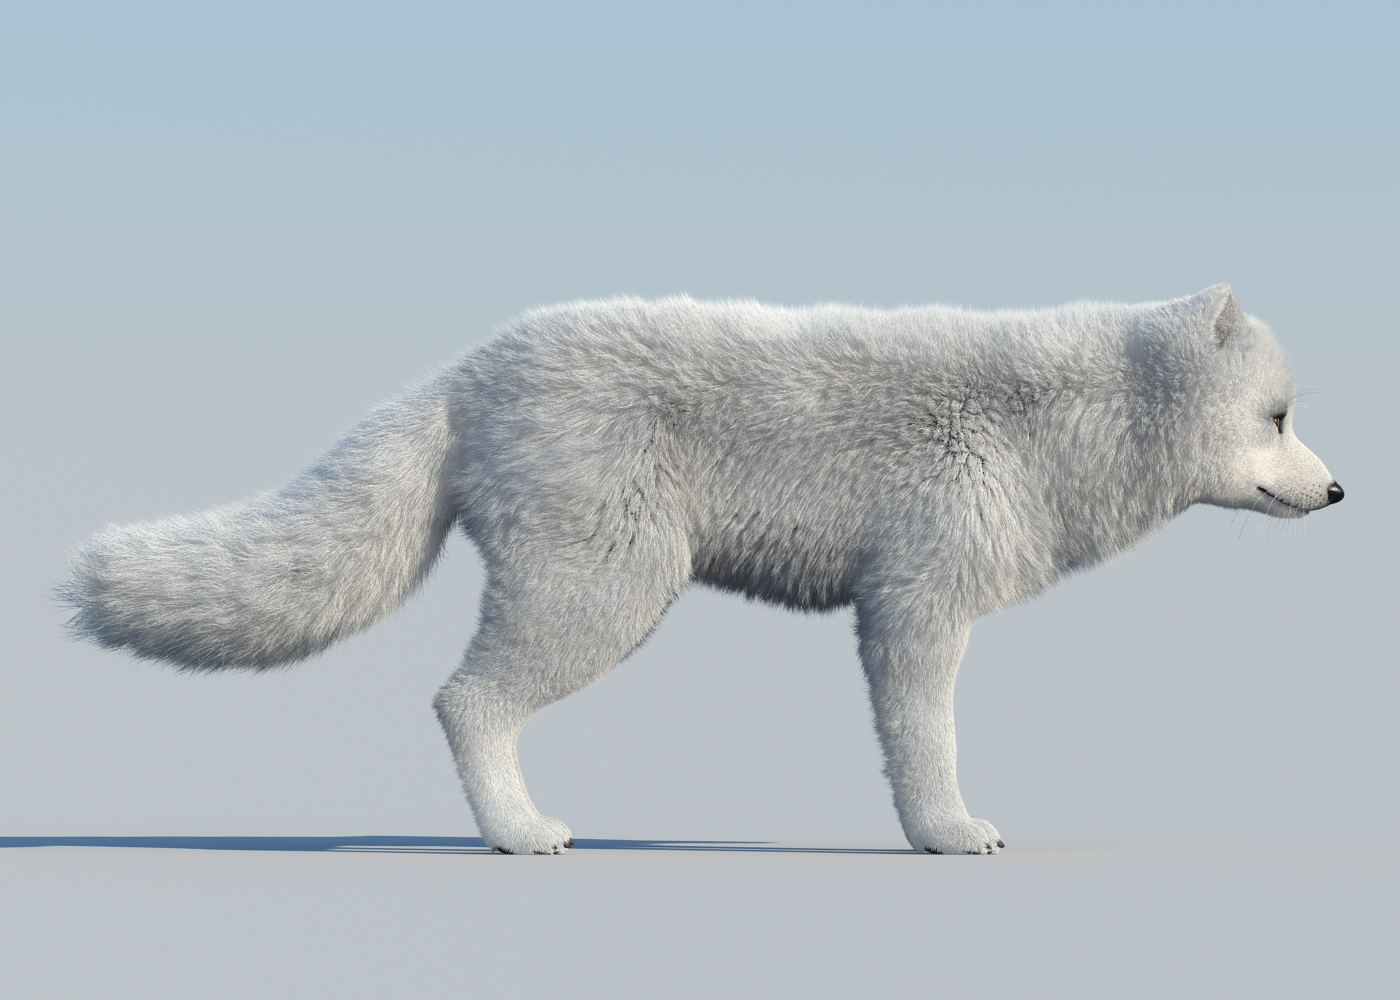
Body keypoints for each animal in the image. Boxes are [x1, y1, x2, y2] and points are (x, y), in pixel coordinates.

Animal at [60, 284, 1343, 855]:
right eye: (1276, 419)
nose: (1338, 494)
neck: (1059, 424)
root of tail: (467, 369)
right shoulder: (913, 605)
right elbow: (924, 741)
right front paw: (943, 833)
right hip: (609, 593)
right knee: (461, 698)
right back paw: (517, 835)